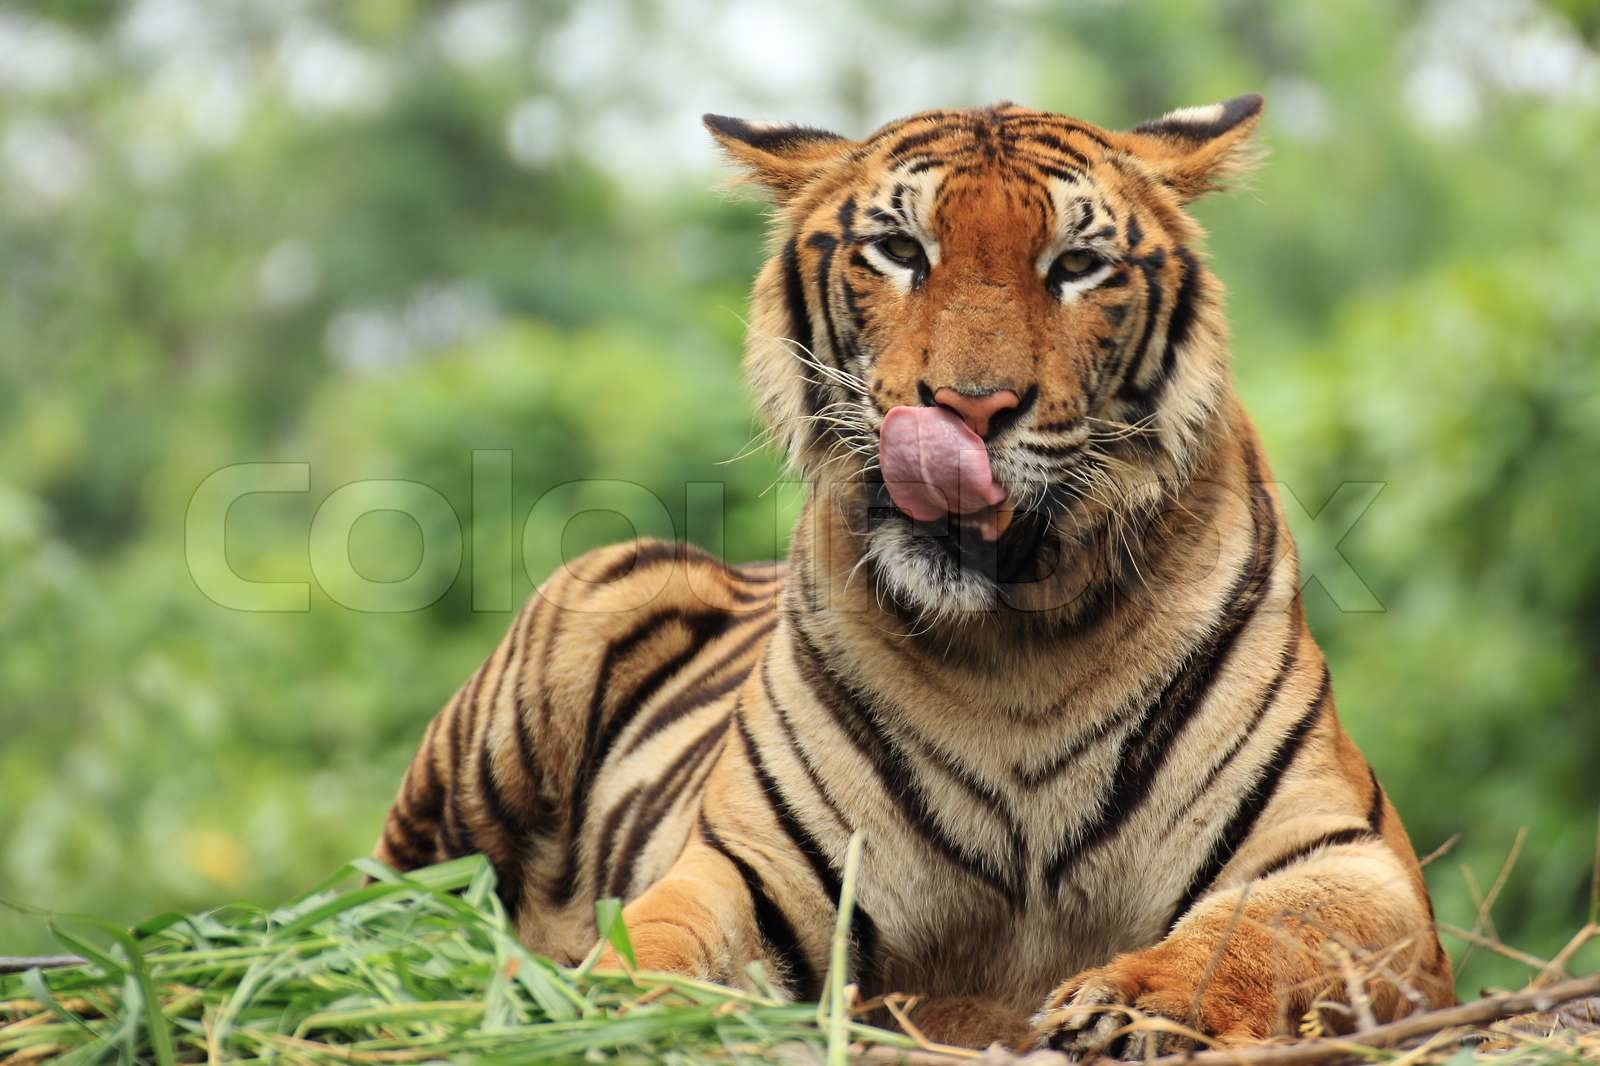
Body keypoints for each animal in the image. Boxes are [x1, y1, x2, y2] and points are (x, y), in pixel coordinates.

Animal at [374, 95, 1455, 1054]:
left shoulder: (1353, 858)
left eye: (1076, 266)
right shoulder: (755, 868)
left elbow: (1263, 930)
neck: (1017, 639)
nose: (970, 409)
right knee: (391, 899)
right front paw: (599, 1010)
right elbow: (659, 940)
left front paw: (1127, 1006)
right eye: (900, 251)